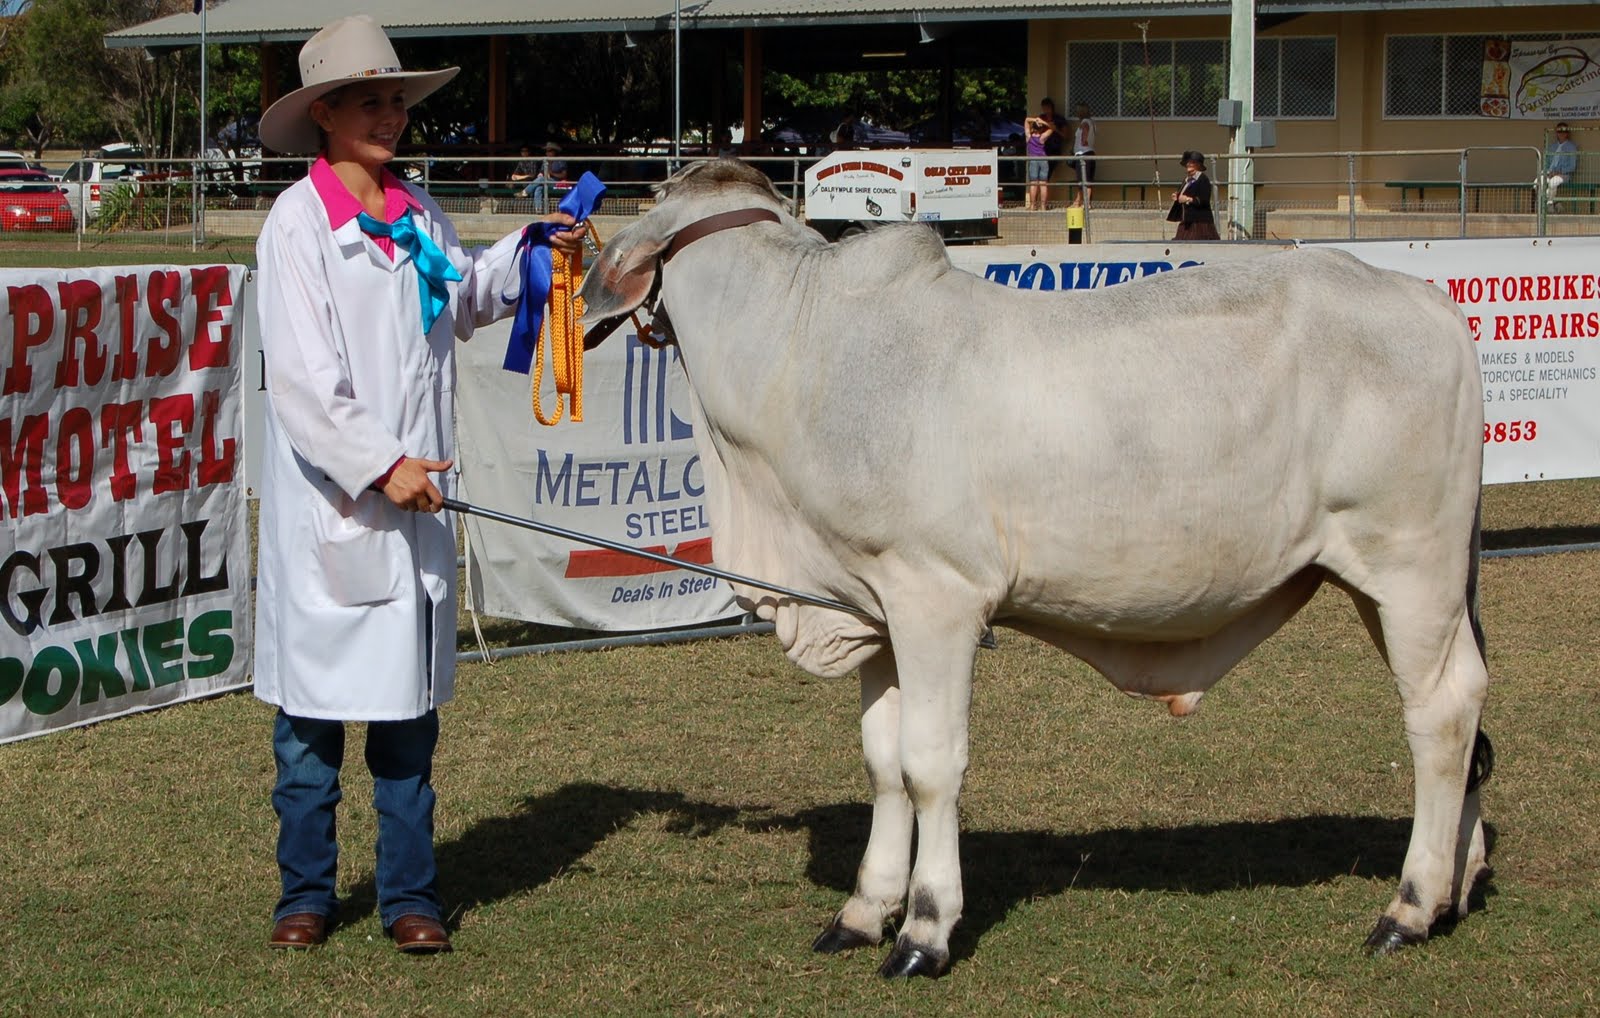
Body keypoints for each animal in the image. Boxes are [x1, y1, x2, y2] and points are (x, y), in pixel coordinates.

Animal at [576, 159, 1493, 979]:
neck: (799, 352)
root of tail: (1431, 302)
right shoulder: (871, 607)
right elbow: (882, 763)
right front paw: (863, 912)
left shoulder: (935, 598)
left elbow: (929, 765)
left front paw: (925, 929)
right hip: (1397, 583)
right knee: (1472, 714)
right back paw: (1457, 888)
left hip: (1410, 569)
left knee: (1440, 717)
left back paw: (1408, 908)